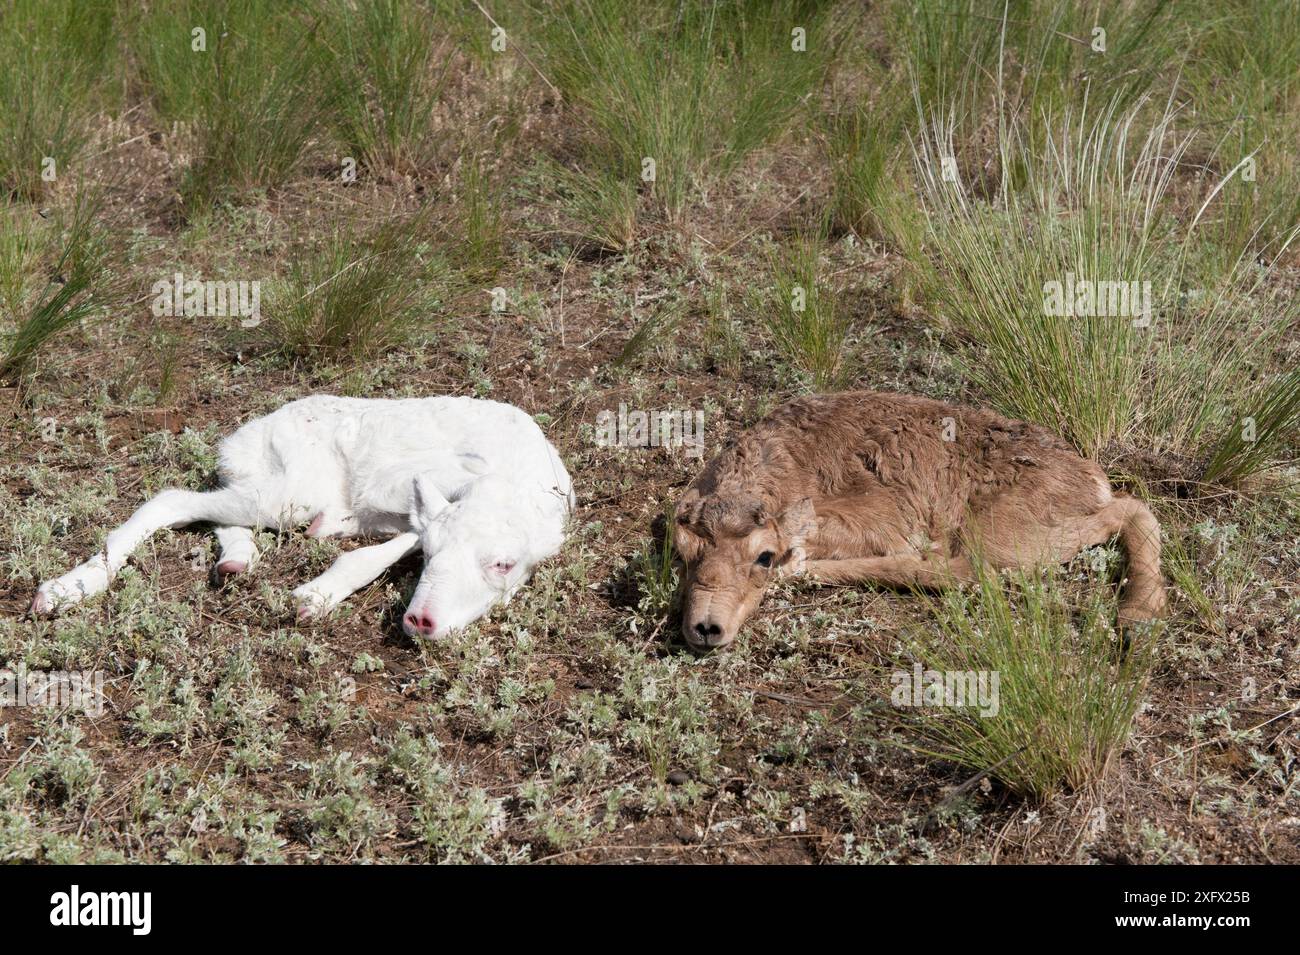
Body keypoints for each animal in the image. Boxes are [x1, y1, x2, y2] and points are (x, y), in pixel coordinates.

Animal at [30, 395, 574, 639]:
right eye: (434, 559)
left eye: (504, 565)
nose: (421, 619)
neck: (512, 483)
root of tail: (238, 439)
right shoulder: (401, 488)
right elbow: (388, 542)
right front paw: (313, 598)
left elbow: (387, 544)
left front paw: (317, 592)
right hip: (292, 493)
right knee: (172, 499)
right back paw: (68, 588)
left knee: (218, 506)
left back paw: (236, 562)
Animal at [672, 390, 1166, 650]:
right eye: (683, 554)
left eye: (763, 556)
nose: (706, 627)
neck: (785, 464)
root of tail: (1091, 477)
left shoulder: (878, 517)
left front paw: (796, 566)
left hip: (1004, 537)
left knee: (1129, 508)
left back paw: (1138, 613)